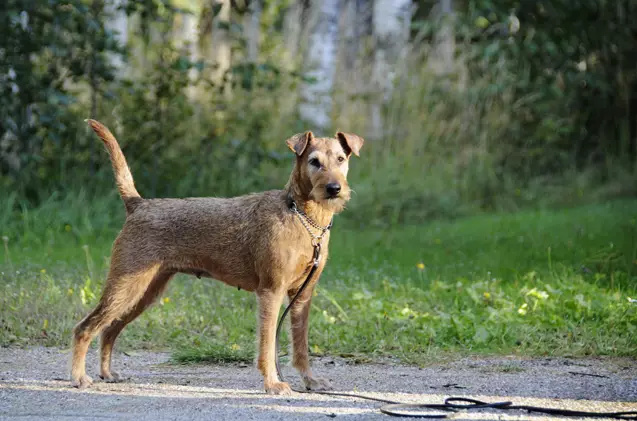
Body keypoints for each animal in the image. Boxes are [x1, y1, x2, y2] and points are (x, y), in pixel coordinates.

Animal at [69, 119, 362, 394]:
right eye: (314, 162)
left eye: (341, 159)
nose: (334, 188)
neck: (302, 217)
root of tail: (138, 204)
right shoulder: (271, 291)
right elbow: (267, 346)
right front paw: (272, 383)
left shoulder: (302, 296)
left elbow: (300, 346)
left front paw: (310, 381)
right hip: (126, 285)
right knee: (85, 328)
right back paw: (79, 377)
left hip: (144, 293)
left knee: (109, 329)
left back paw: (107, 373)